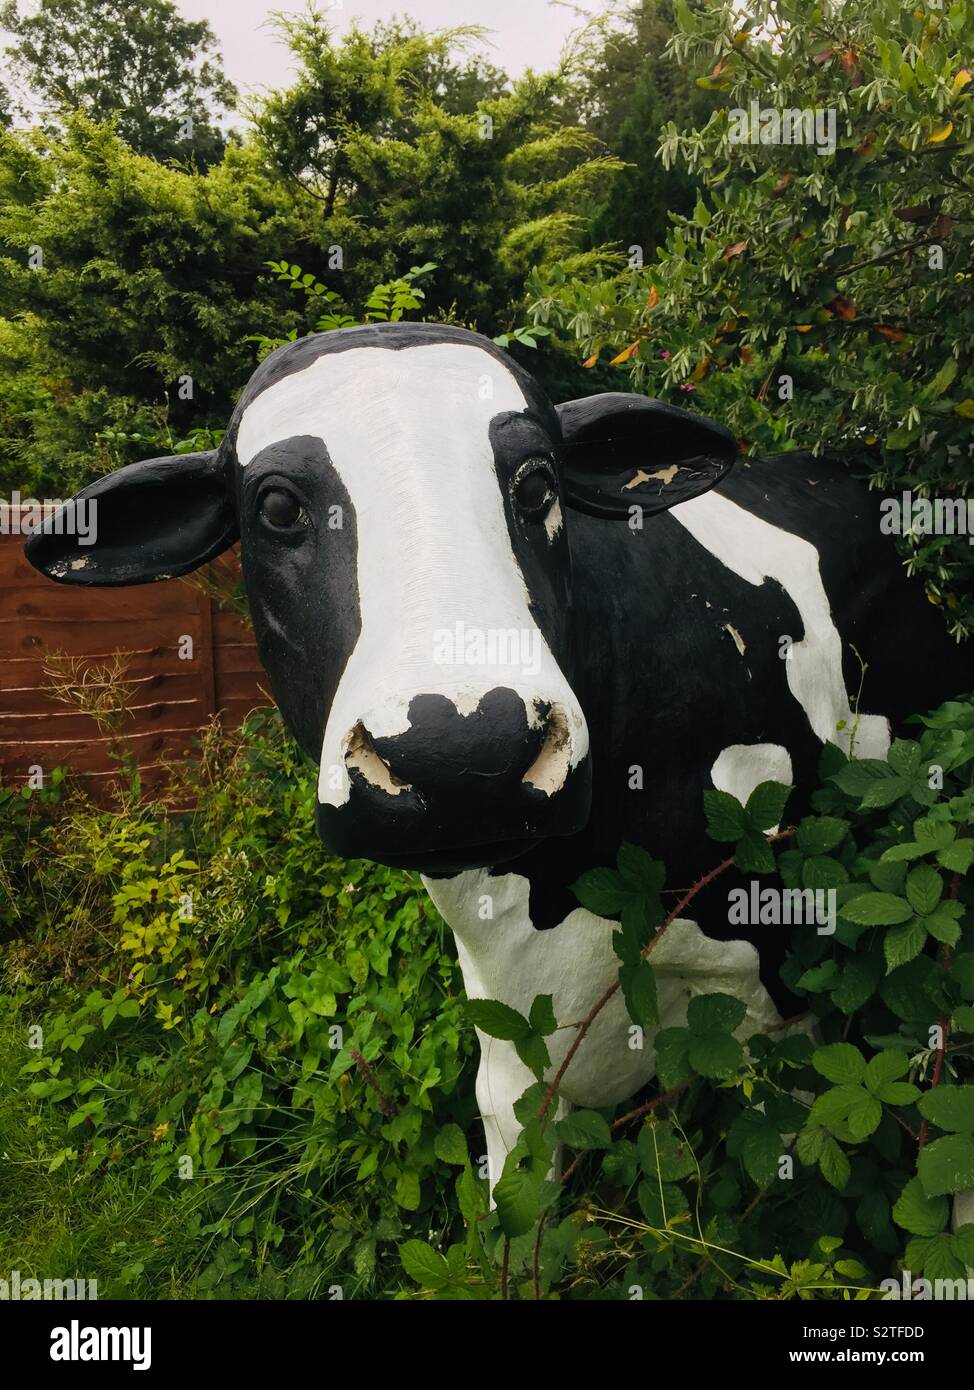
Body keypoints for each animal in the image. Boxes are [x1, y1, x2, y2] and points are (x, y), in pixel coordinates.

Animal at [25, 321, 971, 1192]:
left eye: (538, 482)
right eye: (279, 508)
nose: (463, 751)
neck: (558, 895)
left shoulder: (793, 1001)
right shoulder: (515, 1060)